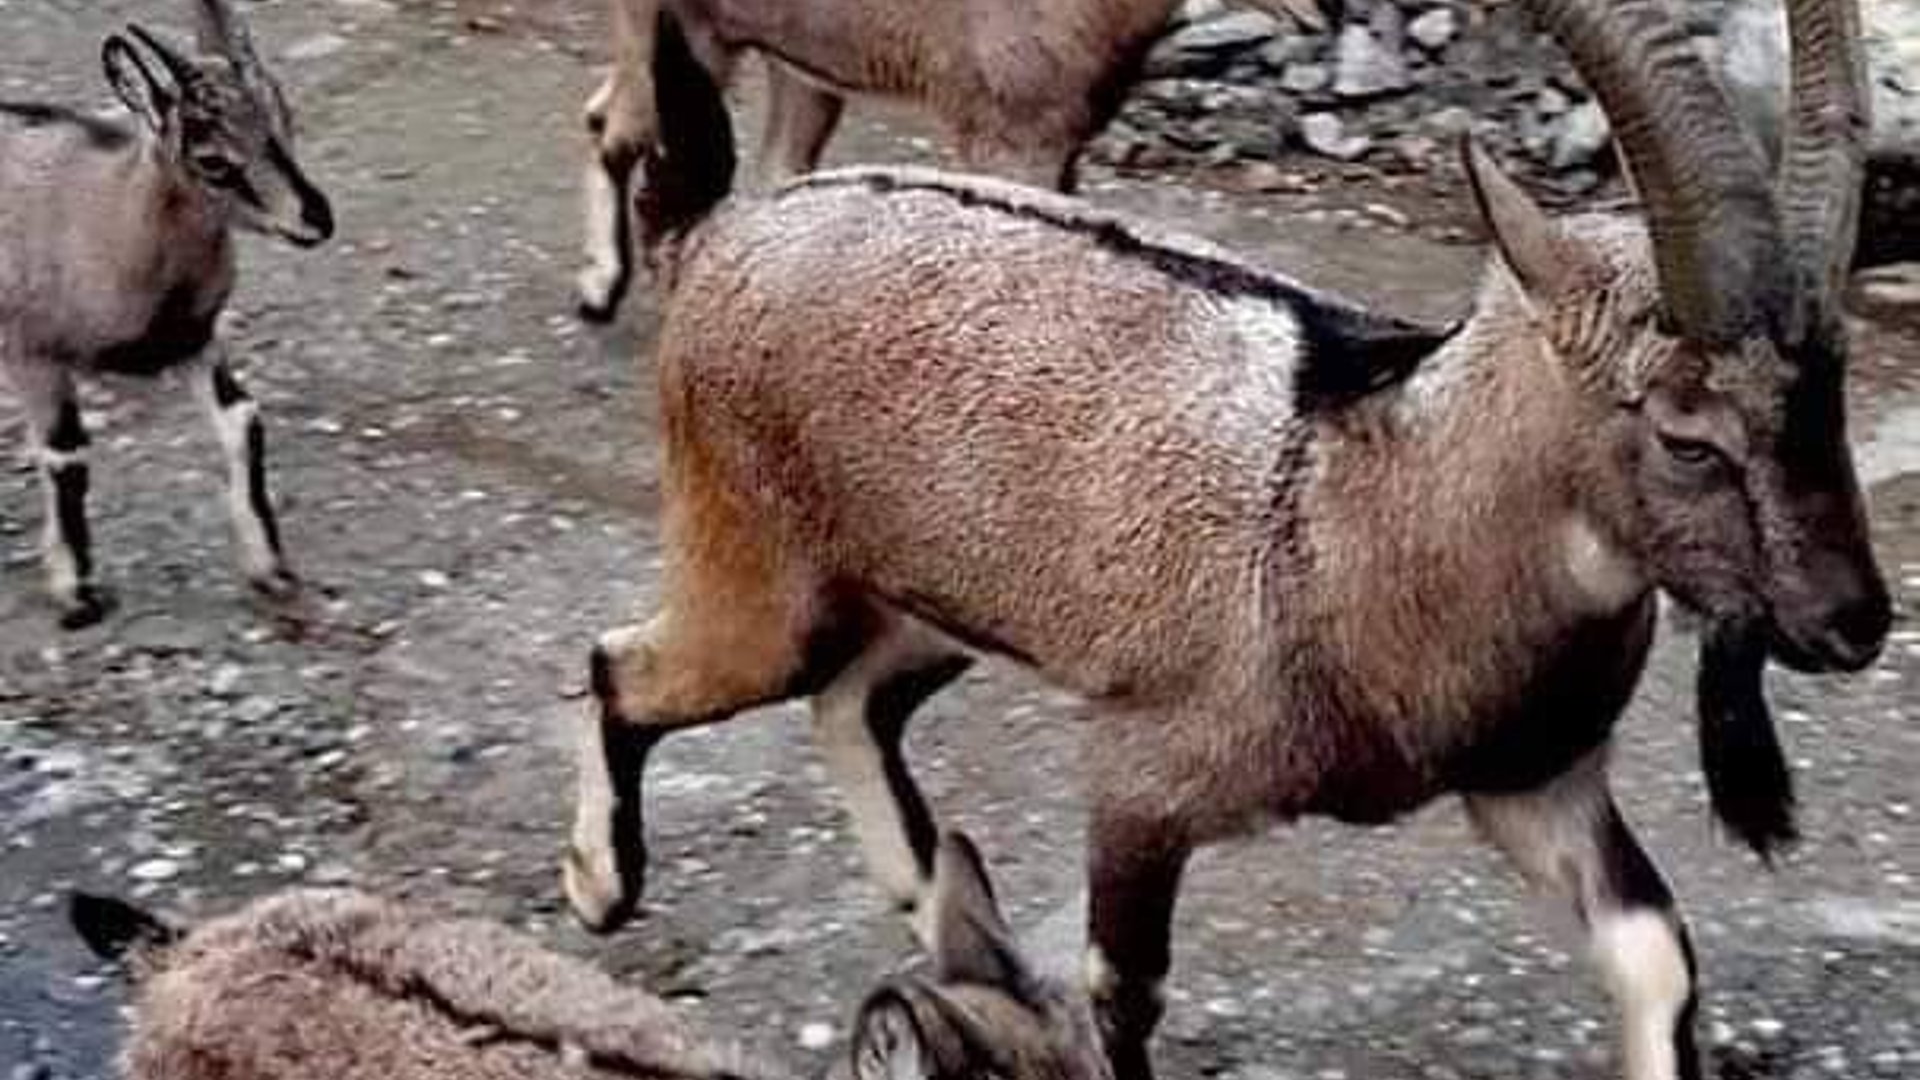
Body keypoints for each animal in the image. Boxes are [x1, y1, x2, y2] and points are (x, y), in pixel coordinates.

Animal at [0, 0, 334, 628]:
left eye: (283, 113)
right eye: (212, 161)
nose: (316, 218)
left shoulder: (196, 341)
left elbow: (242, 420)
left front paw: (271, 571)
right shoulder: (34, 352)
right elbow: (66, 454)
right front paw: (78, 594)